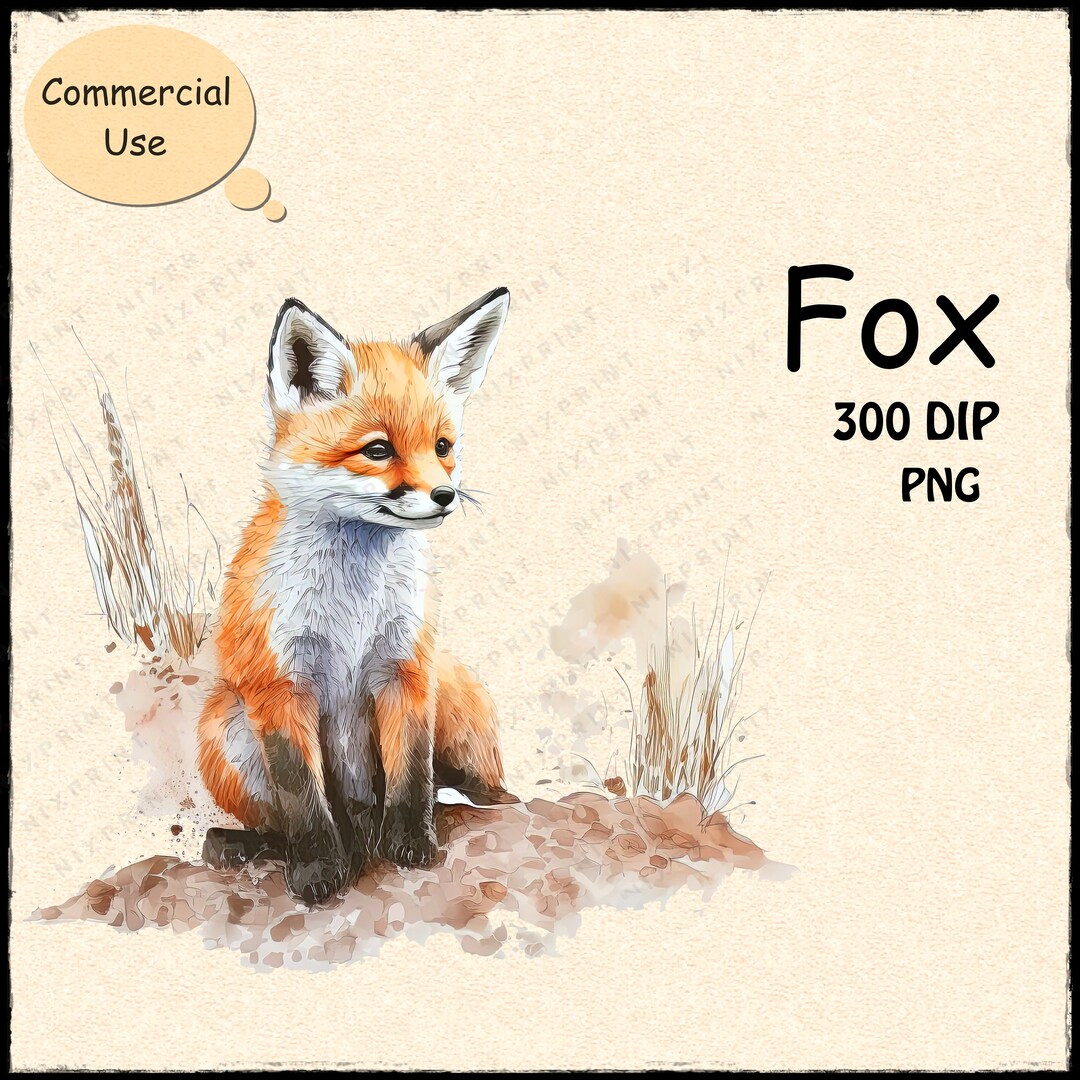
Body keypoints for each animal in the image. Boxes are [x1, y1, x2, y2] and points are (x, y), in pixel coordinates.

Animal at [196, 288, 514, 906]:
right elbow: (302, 798)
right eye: (378, 450)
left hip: (455, 694)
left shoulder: (405, 667)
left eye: (442, 446)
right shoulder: (279, 686)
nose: (445, 494)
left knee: (479, 790)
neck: (353, 607)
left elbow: (412, 778)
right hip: (225, 728)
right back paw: (249, 844)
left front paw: (411, 845)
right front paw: (320, 870)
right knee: (283, 822)